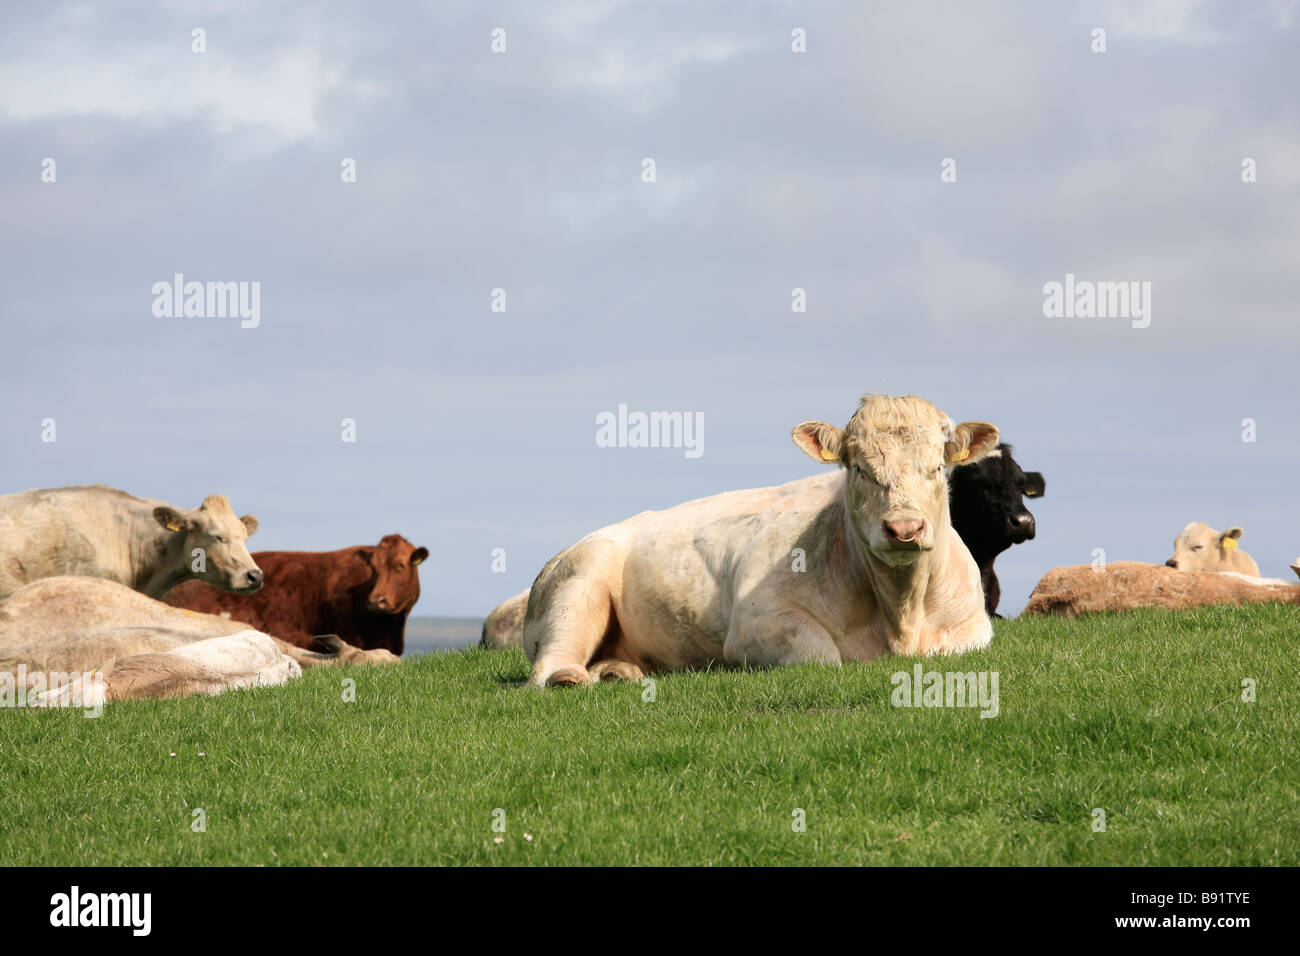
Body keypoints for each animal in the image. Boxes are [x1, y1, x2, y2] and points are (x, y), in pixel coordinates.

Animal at [522, 394, 1000, 687]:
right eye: (859, 468)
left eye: (937, 468)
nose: (903, 529)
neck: (901, 613)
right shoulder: (757, 620)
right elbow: (821, 654)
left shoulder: (974, 626)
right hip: (578, 584)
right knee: (549, 662)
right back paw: (567, 677)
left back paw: (617, 672)